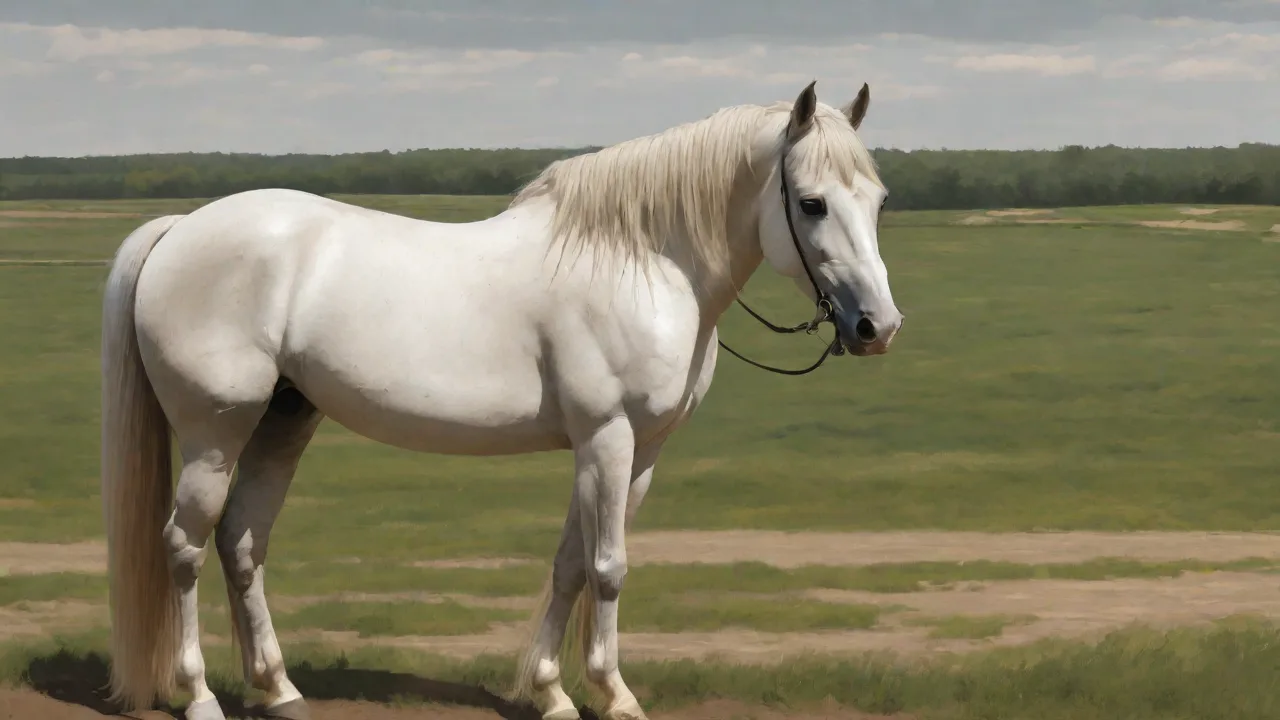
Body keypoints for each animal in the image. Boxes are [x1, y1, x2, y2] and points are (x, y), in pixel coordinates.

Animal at [99, 79, 904, 720]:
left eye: (877, 200)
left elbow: (572, 564)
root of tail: (181, 229)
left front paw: (550, 693)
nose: (877, 327)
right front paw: (614, 695)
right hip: (214, 434)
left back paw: (278, 690)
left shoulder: (637, 451)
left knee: (241, 541)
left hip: (284, 420)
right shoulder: (607, 438)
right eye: (811, 203)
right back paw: (201, 696)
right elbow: (608, 568)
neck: (642, 260)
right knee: (185, 546)